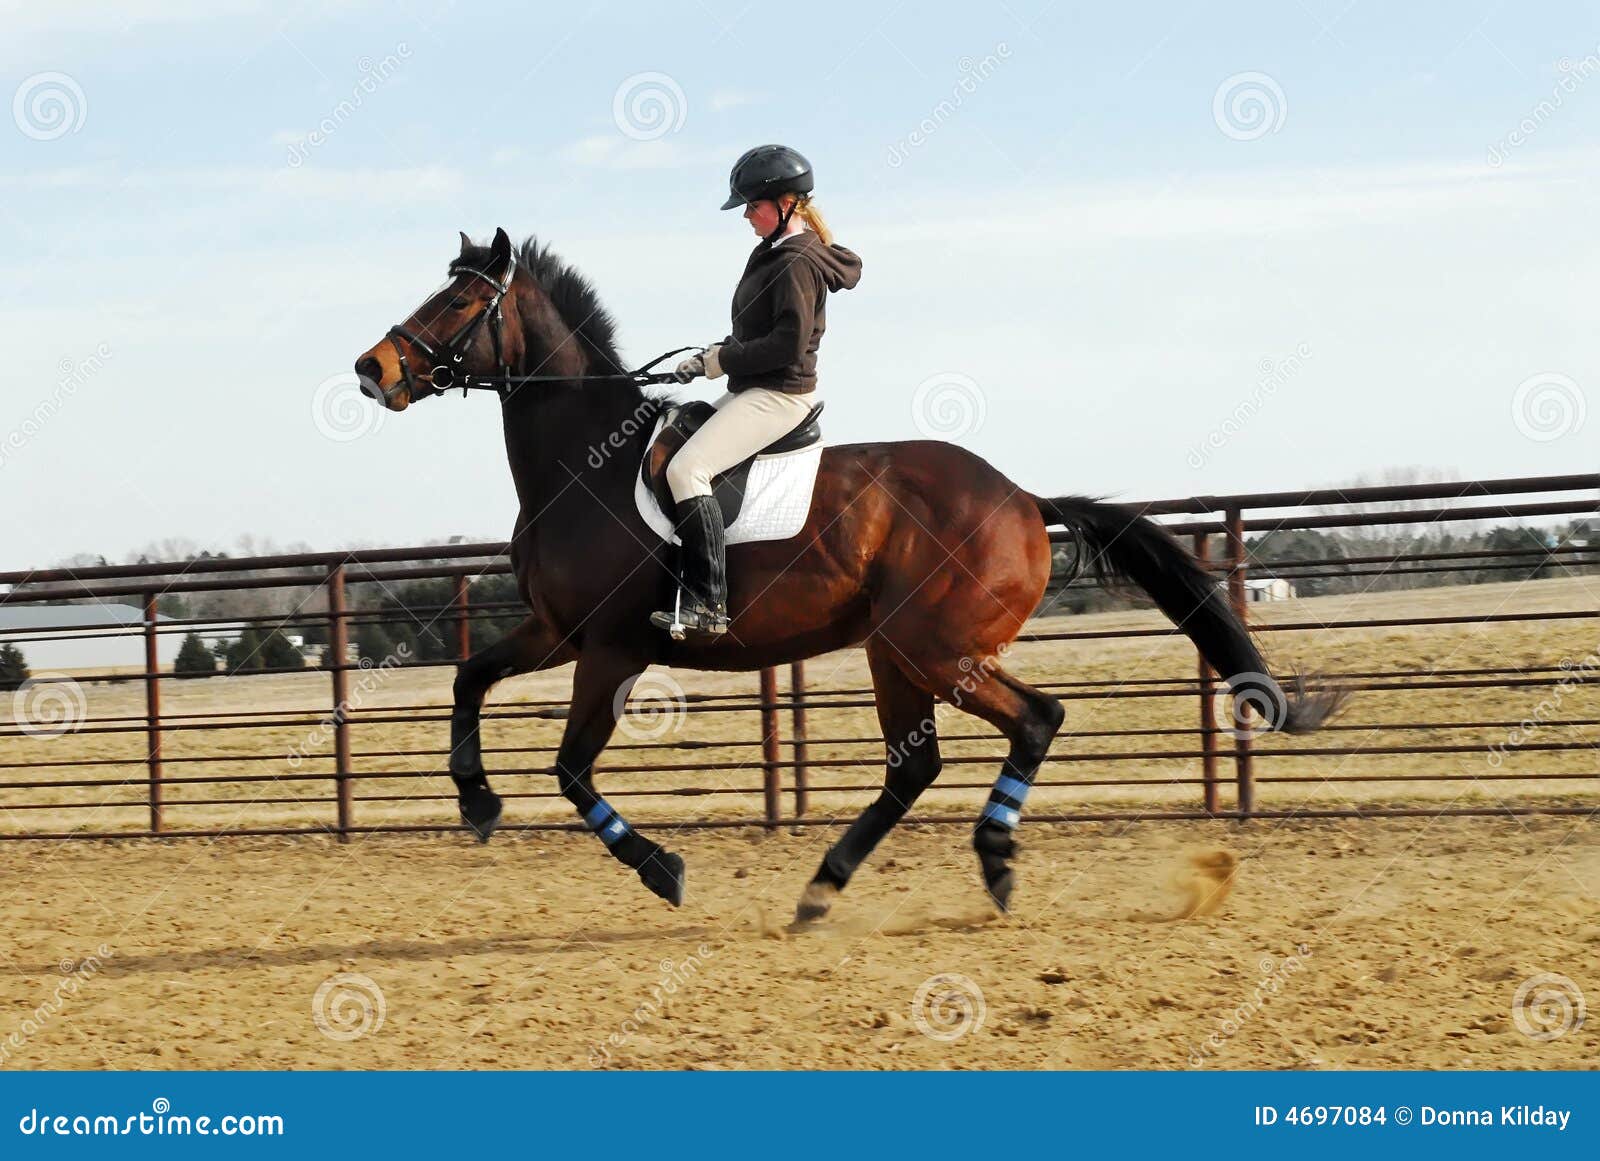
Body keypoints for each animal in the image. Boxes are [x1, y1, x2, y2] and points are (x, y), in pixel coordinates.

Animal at [353, 227, 1342, 919]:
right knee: (917, 767)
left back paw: (991, 859)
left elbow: (569, 770)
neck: (583, 462)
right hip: (893, 652)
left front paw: (663, 868)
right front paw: (478, 801)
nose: (372, 367)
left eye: (457, 301)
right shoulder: (557, 633)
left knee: (1037, 718)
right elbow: (469, 678)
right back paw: (823, 887)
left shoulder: (610, 649)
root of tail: (1022, 497)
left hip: (934, 646)